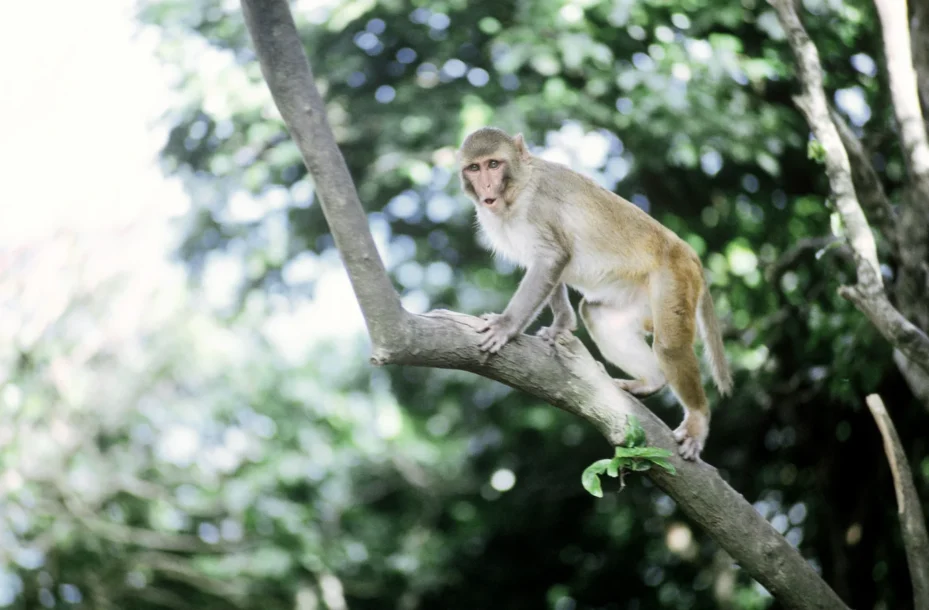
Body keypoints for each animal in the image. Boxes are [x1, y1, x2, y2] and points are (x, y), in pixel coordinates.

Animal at [457, 127, 732, 460]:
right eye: (475, 167)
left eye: (494, 164)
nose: (485, 184)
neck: (519, 187)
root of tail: (691, 255)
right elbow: (550, 268)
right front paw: (562, 324)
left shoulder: (538, 207)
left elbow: (550, 258)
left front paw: (505, 326)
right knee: (598, 315)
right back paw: (649, 382)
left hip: (674, 278)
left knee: (670, 347)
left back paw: (697, 419)